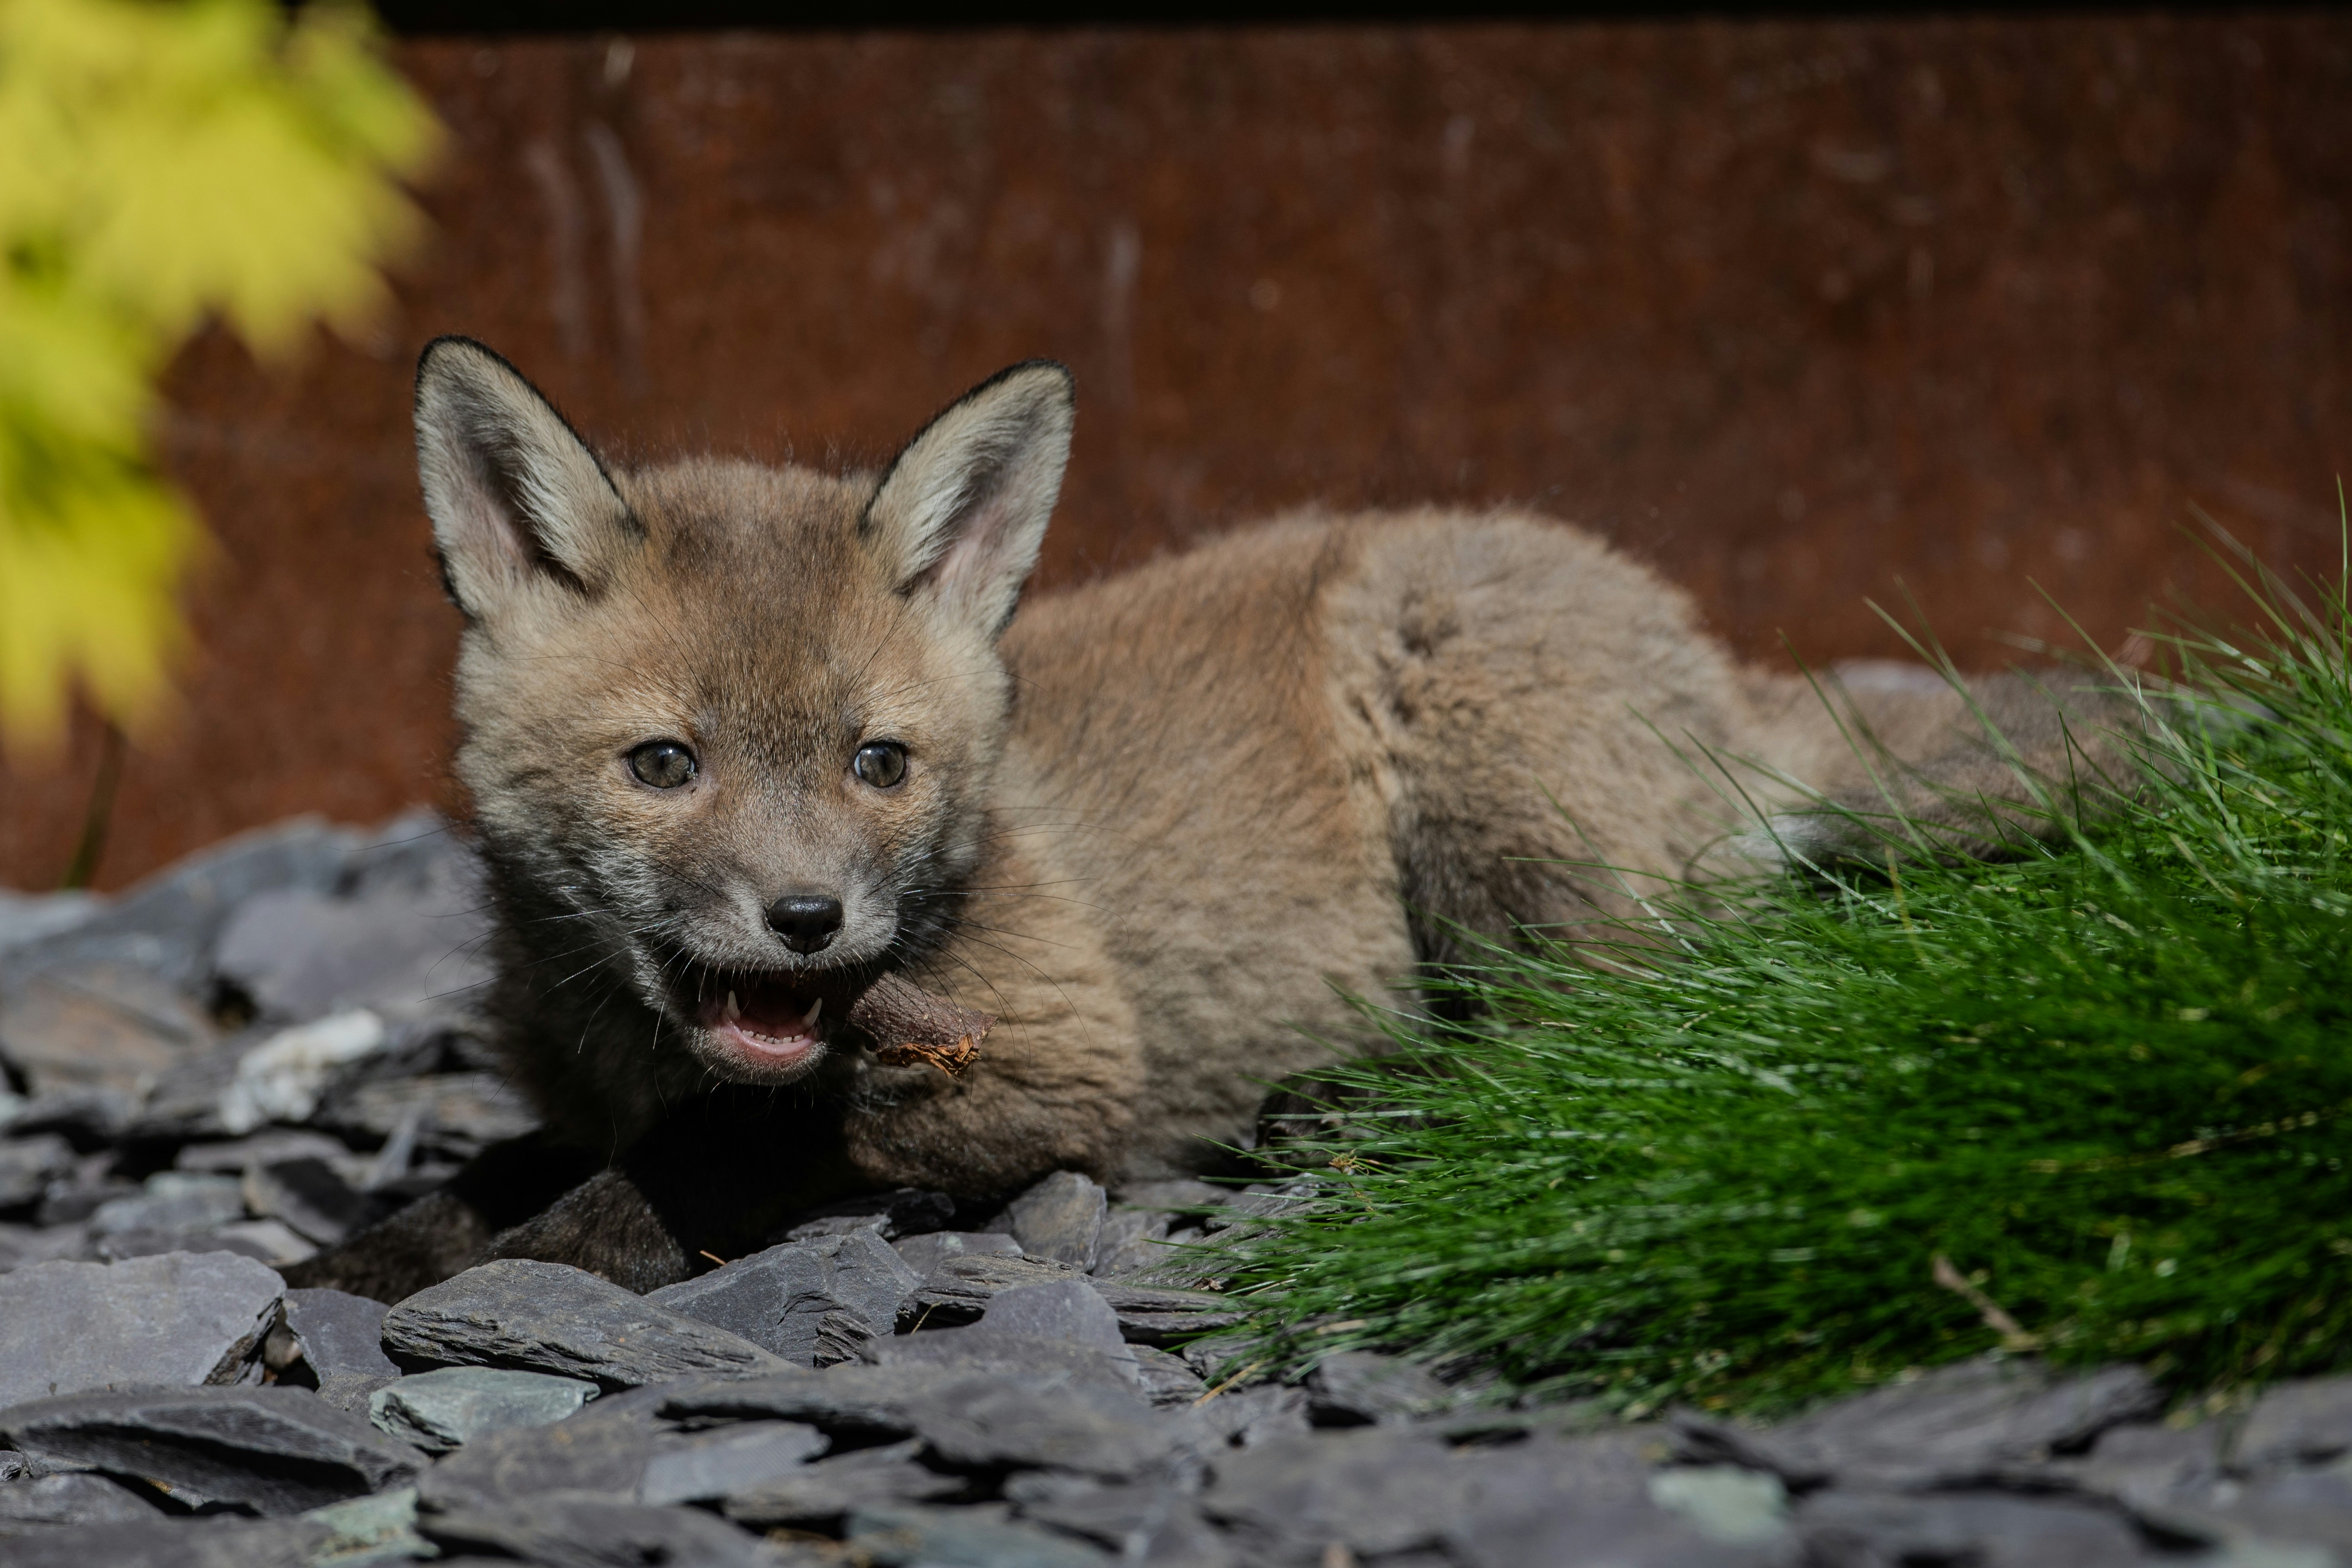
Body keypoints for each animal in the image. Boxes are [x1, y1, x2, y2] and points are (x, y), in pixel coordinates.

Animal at [289, 337, 2135, 1302]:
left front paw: (512, 1269)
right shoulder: (590, 1095)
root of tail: (1717, 653)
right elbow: (510, 1165)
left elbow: (710, 1161)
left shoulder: (1052, 1052)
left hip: (1475, 766)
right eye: (665, 764)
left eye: (879, 764)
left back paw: (1336, 1109)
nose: (810, 921)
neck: (642, 1045)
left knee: (1625, 1030)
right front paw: (373, 1258)